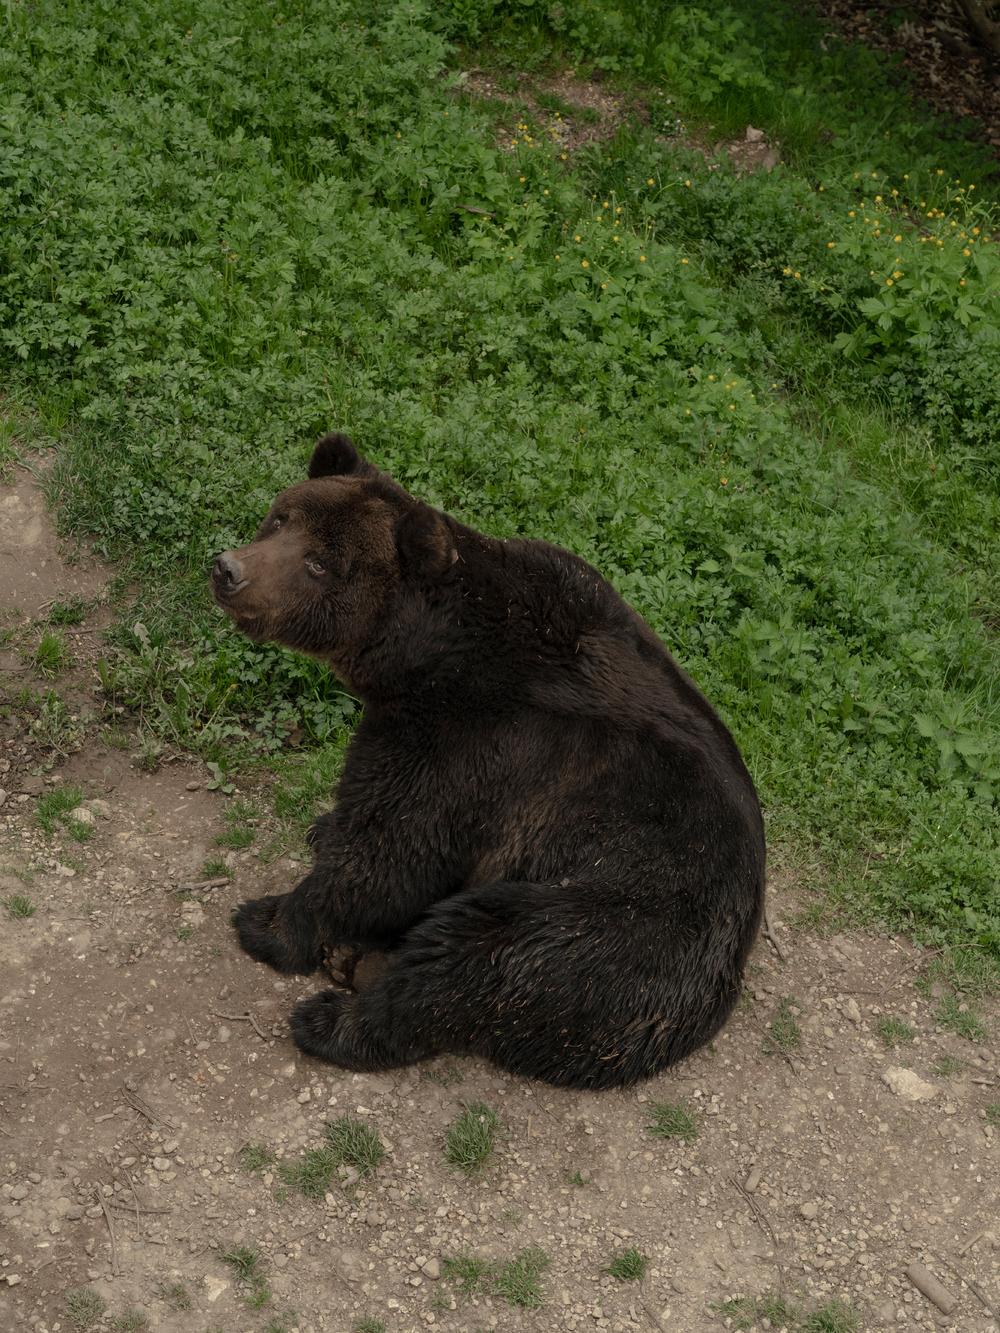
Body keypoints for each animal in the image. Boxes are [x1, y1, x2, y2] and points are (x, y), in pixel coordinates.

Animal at [211, 433, 765, 1090]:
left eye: (320, 563)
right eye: (280, 518)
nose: (228, 569)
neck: (423, 655)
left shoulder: (477, 740)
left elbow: (388, 850)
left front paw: (267, 919)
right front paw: (322, 828)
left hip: (622, 922)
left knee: (481, 955)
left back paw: (337, 1013)